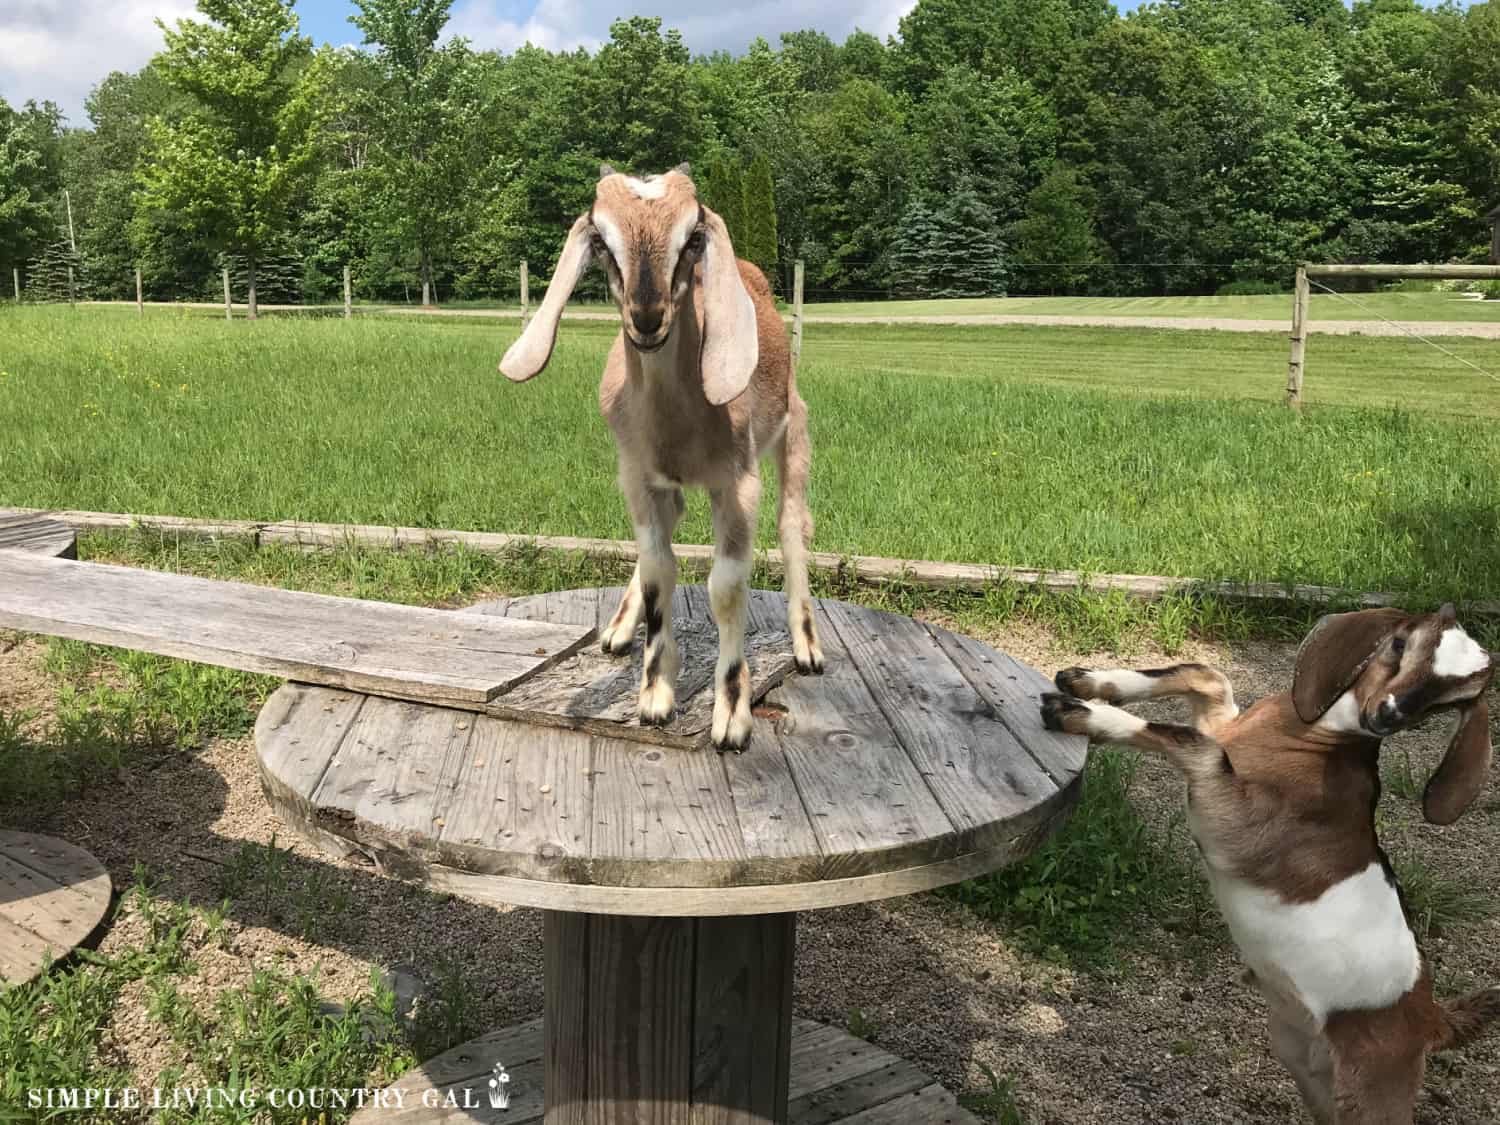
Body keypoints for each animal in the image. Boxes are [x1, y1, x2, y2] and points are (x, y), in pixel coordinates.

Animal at [498, 164, 824, 751]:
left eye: (693, 238)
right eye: (602, 240)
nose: (647, 319)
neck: (679, 426)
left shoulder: (737, 483)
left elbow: (725, 586)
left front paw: (731, 715)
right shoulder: (638, 477)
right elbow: (657, 570)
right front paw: (654, 695)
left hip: (794, 430)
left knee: (793, 524)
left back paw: (807, 644)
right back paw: (619, 630)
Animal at [1040, 605, 1500, 1123]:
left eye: (1443, 703)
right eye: (1400, 643)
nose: (1387, 715)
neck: (1317, 740)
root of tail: (1429, 1017)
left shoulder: (1227, 821)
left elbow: (1198, 744)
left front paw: (1081, 713)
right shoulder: (1226, 728)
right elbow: (1209, 676)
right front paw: (1087, 681)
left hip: (1375, 1095)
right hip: (1305, 1062)